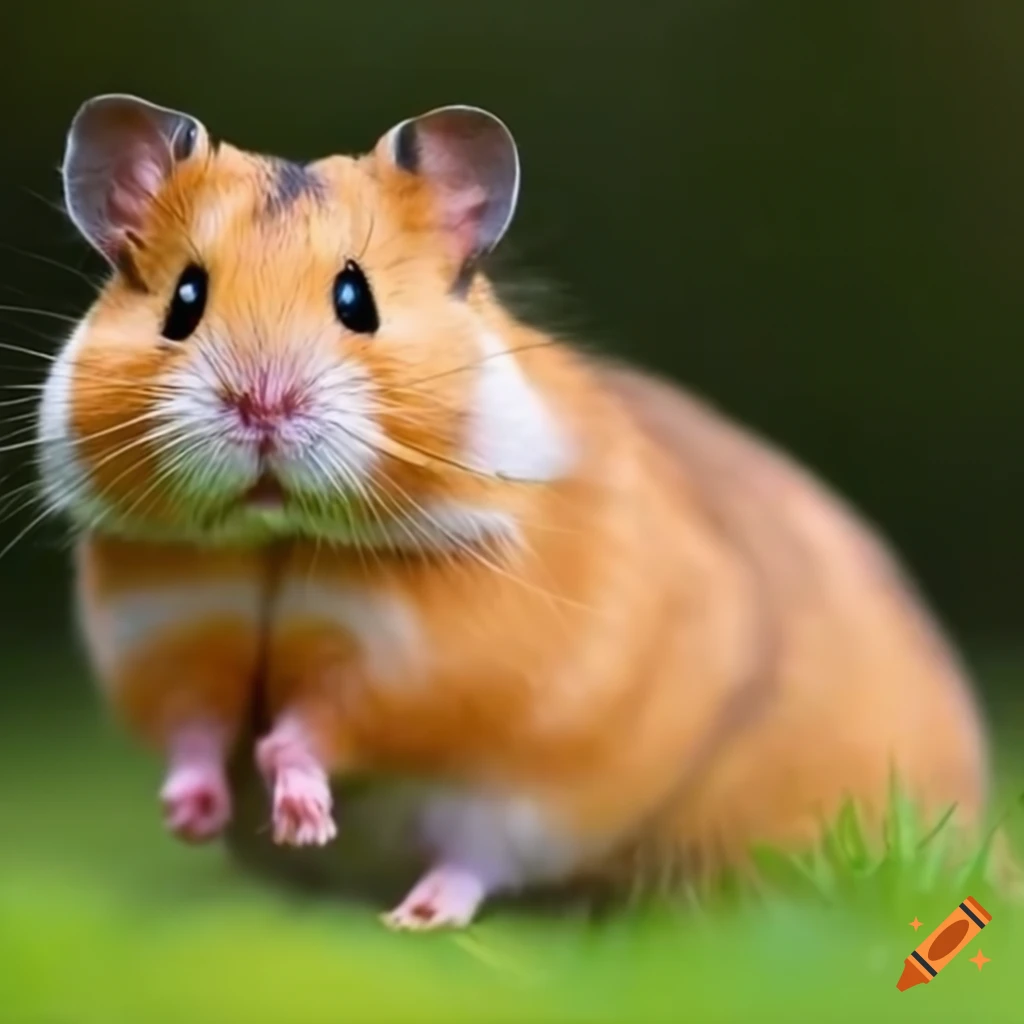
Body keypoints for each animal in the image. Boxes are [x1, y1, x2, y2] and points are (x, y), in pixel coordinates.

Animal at [37, 93, 991, 929]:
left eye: (356, 300)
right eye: (184, 301)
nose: (261, 405)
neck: (280, 539)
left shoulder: (415, 657)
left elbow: (324, 725)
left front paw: (299, 812)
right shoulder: (169, 629)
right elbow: (194, 726)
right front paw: (192, 815)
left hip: (540, 809)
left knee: (476, 862)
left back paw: (415, 917)